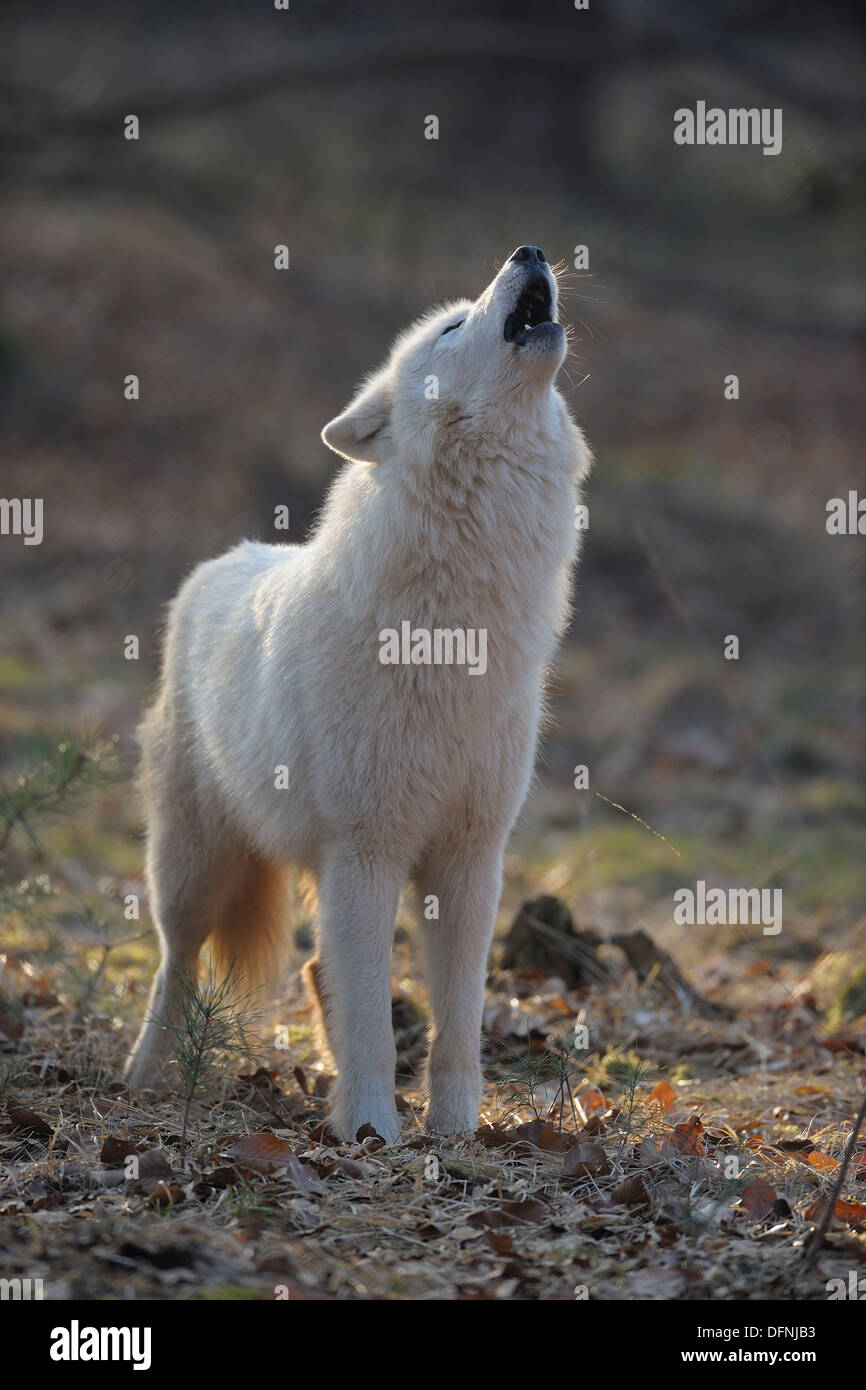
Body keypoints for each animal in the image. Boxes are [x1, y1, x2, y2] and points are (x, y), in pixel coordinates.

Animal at [125, 245, 592, 1143]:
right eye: (452, 326)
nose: (529, 251)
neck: (458, 632)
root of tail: (224, 559)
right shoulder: (368, 853)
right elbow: (376, 1018)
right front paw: (374, 1128)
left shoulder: (471, 861)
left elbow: (456, 1022)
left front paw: (454, 1130)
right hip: (193, 872)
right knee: (176, 965)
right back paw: (144, 1078)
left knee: (316, 968)